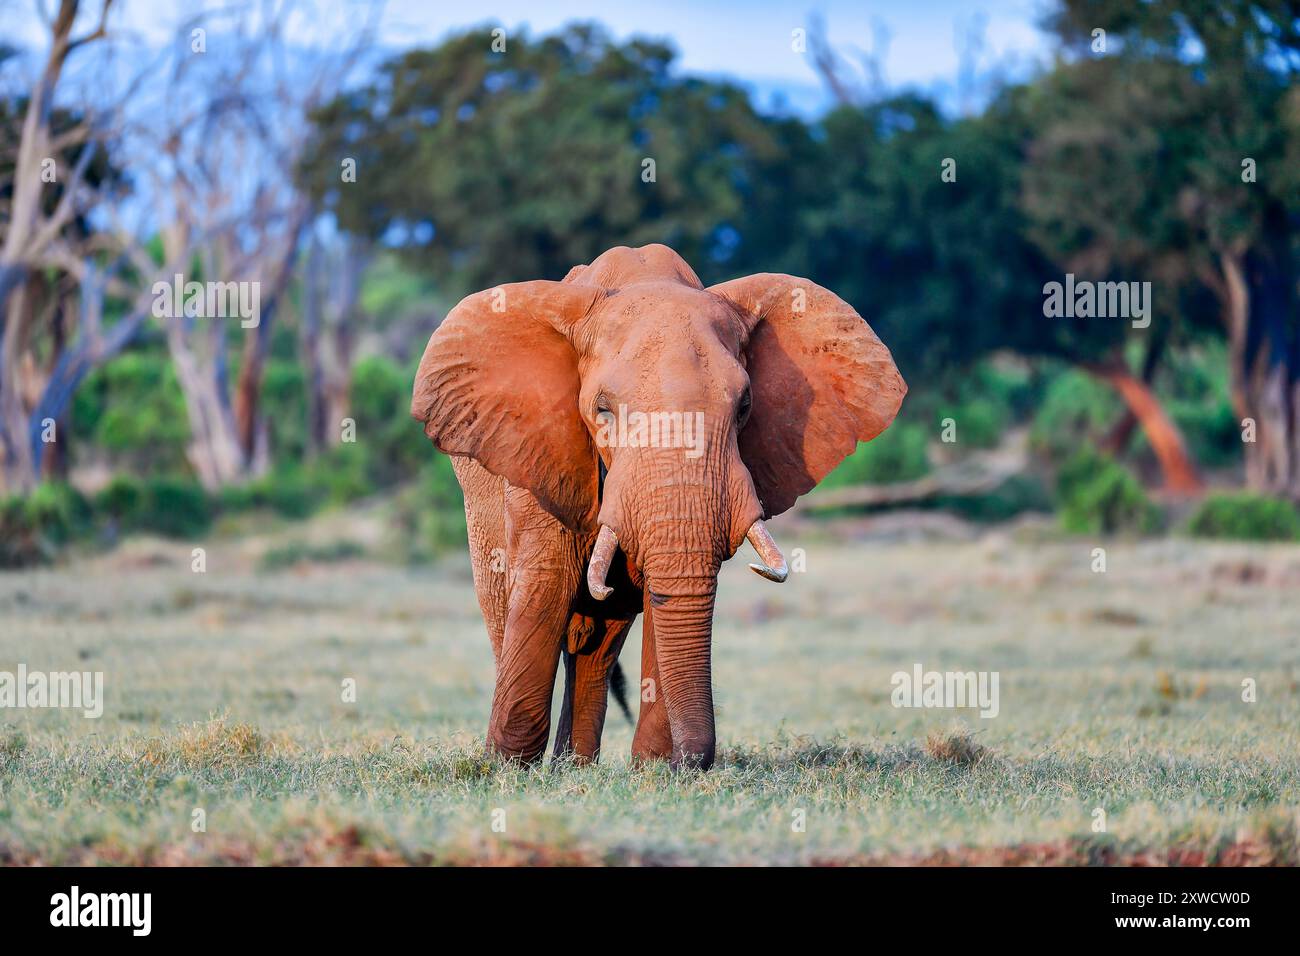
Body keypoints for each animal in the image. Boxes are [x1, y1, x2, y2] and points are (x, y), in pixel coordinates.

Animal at [411, 244, 905, 770]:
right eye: (602, 410)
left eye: (745, 406)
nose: (694, 761)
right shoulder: (542, 453)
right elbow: (546, 584)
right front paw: (506, 768)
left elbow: (658, 596)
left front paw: (651, 769)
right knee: (512, 617)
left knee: (597, 645)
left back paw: (574, 766)